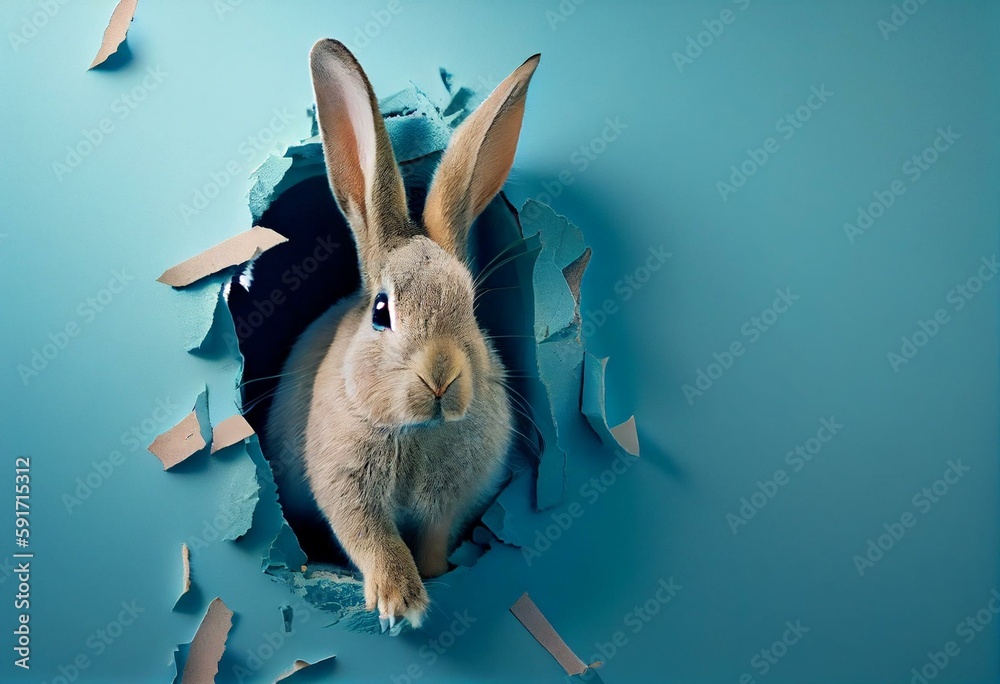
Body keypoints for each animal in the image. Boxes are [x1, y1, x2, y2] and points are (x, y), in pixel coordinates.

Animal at [265, 38, 540, 630]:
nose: (441, 377)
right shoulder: (347, 491)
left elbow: (433, 541)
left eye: (471, 306)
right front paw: (401, 603)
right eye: (381, 311)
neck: (417, 431)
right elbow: (373, 540)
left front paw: (432, 578)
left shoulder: (449, 504)